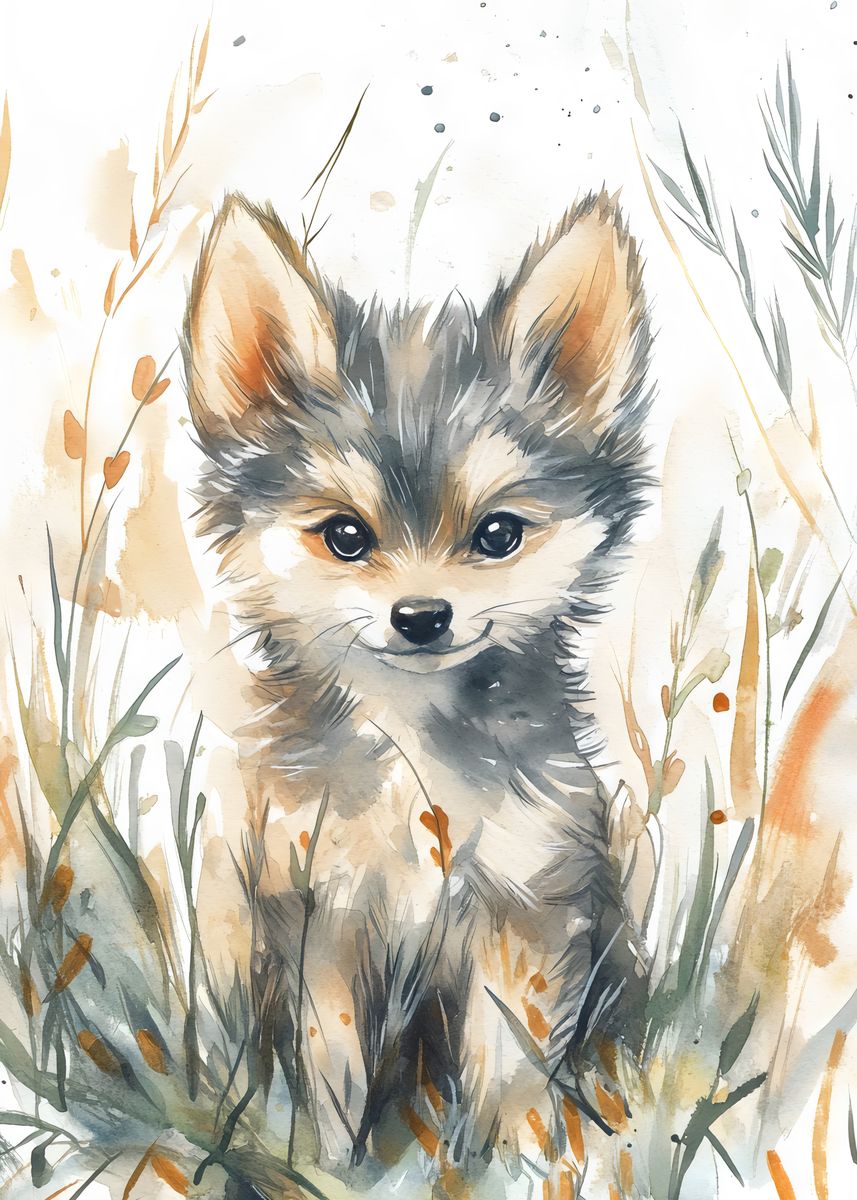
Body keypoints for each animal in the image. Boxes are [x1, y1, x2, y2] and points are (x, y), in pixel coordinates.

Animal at [182, 189, 652, 1191]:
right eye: (346, 537)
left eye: (498, 534)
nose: (422, 616)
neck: (412, 754)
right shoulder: (323, 925)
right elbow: (333, 1074)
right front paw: (332, 1166)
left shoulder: (522, 915)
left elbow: (511, 1071)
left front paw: (520, 1165)